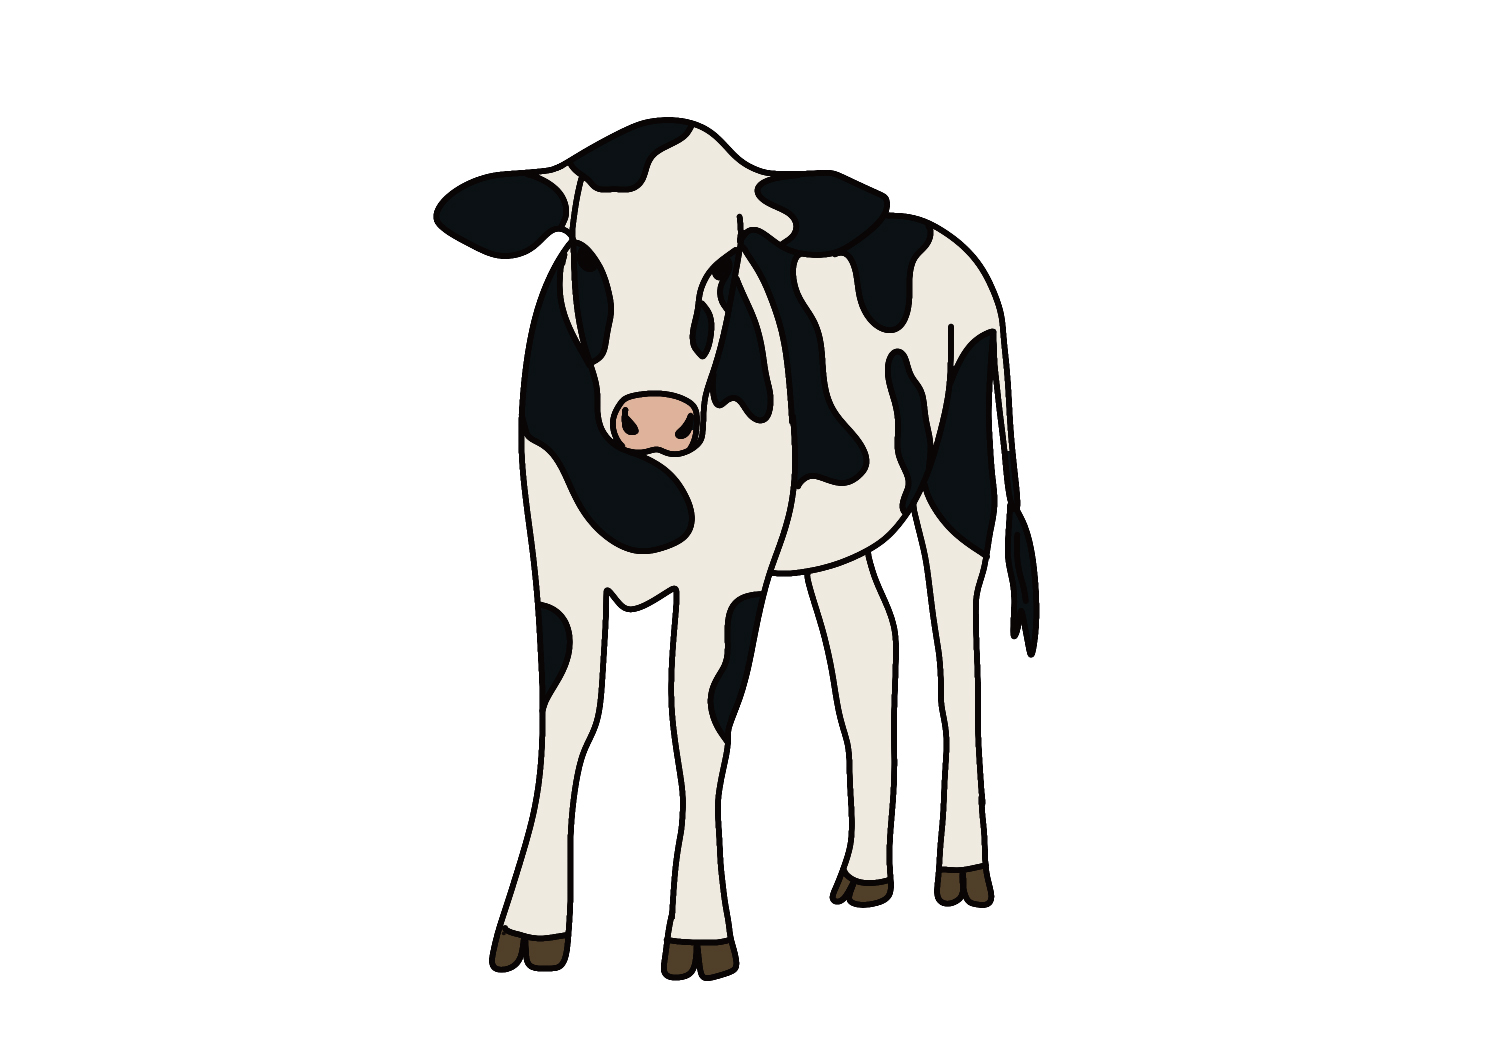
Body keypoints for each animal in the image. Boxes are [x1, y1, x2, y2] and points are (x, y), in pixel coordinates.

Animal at [433, 119, 1039, 981]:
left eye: (723, 266)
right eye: (585, 259)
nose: (655, 417)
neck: (641, 495)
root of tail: (929, 233)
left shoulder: (726, 579)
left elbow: (695, 724)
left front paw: (697, 930)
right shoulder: (559, 565)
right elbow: (567, 718)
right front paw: (532, 921)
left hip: (960, 479)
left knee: (957, 669)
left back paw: (961, 868)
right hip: (833, 538)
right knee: (869, 654)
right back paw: (866, 874)